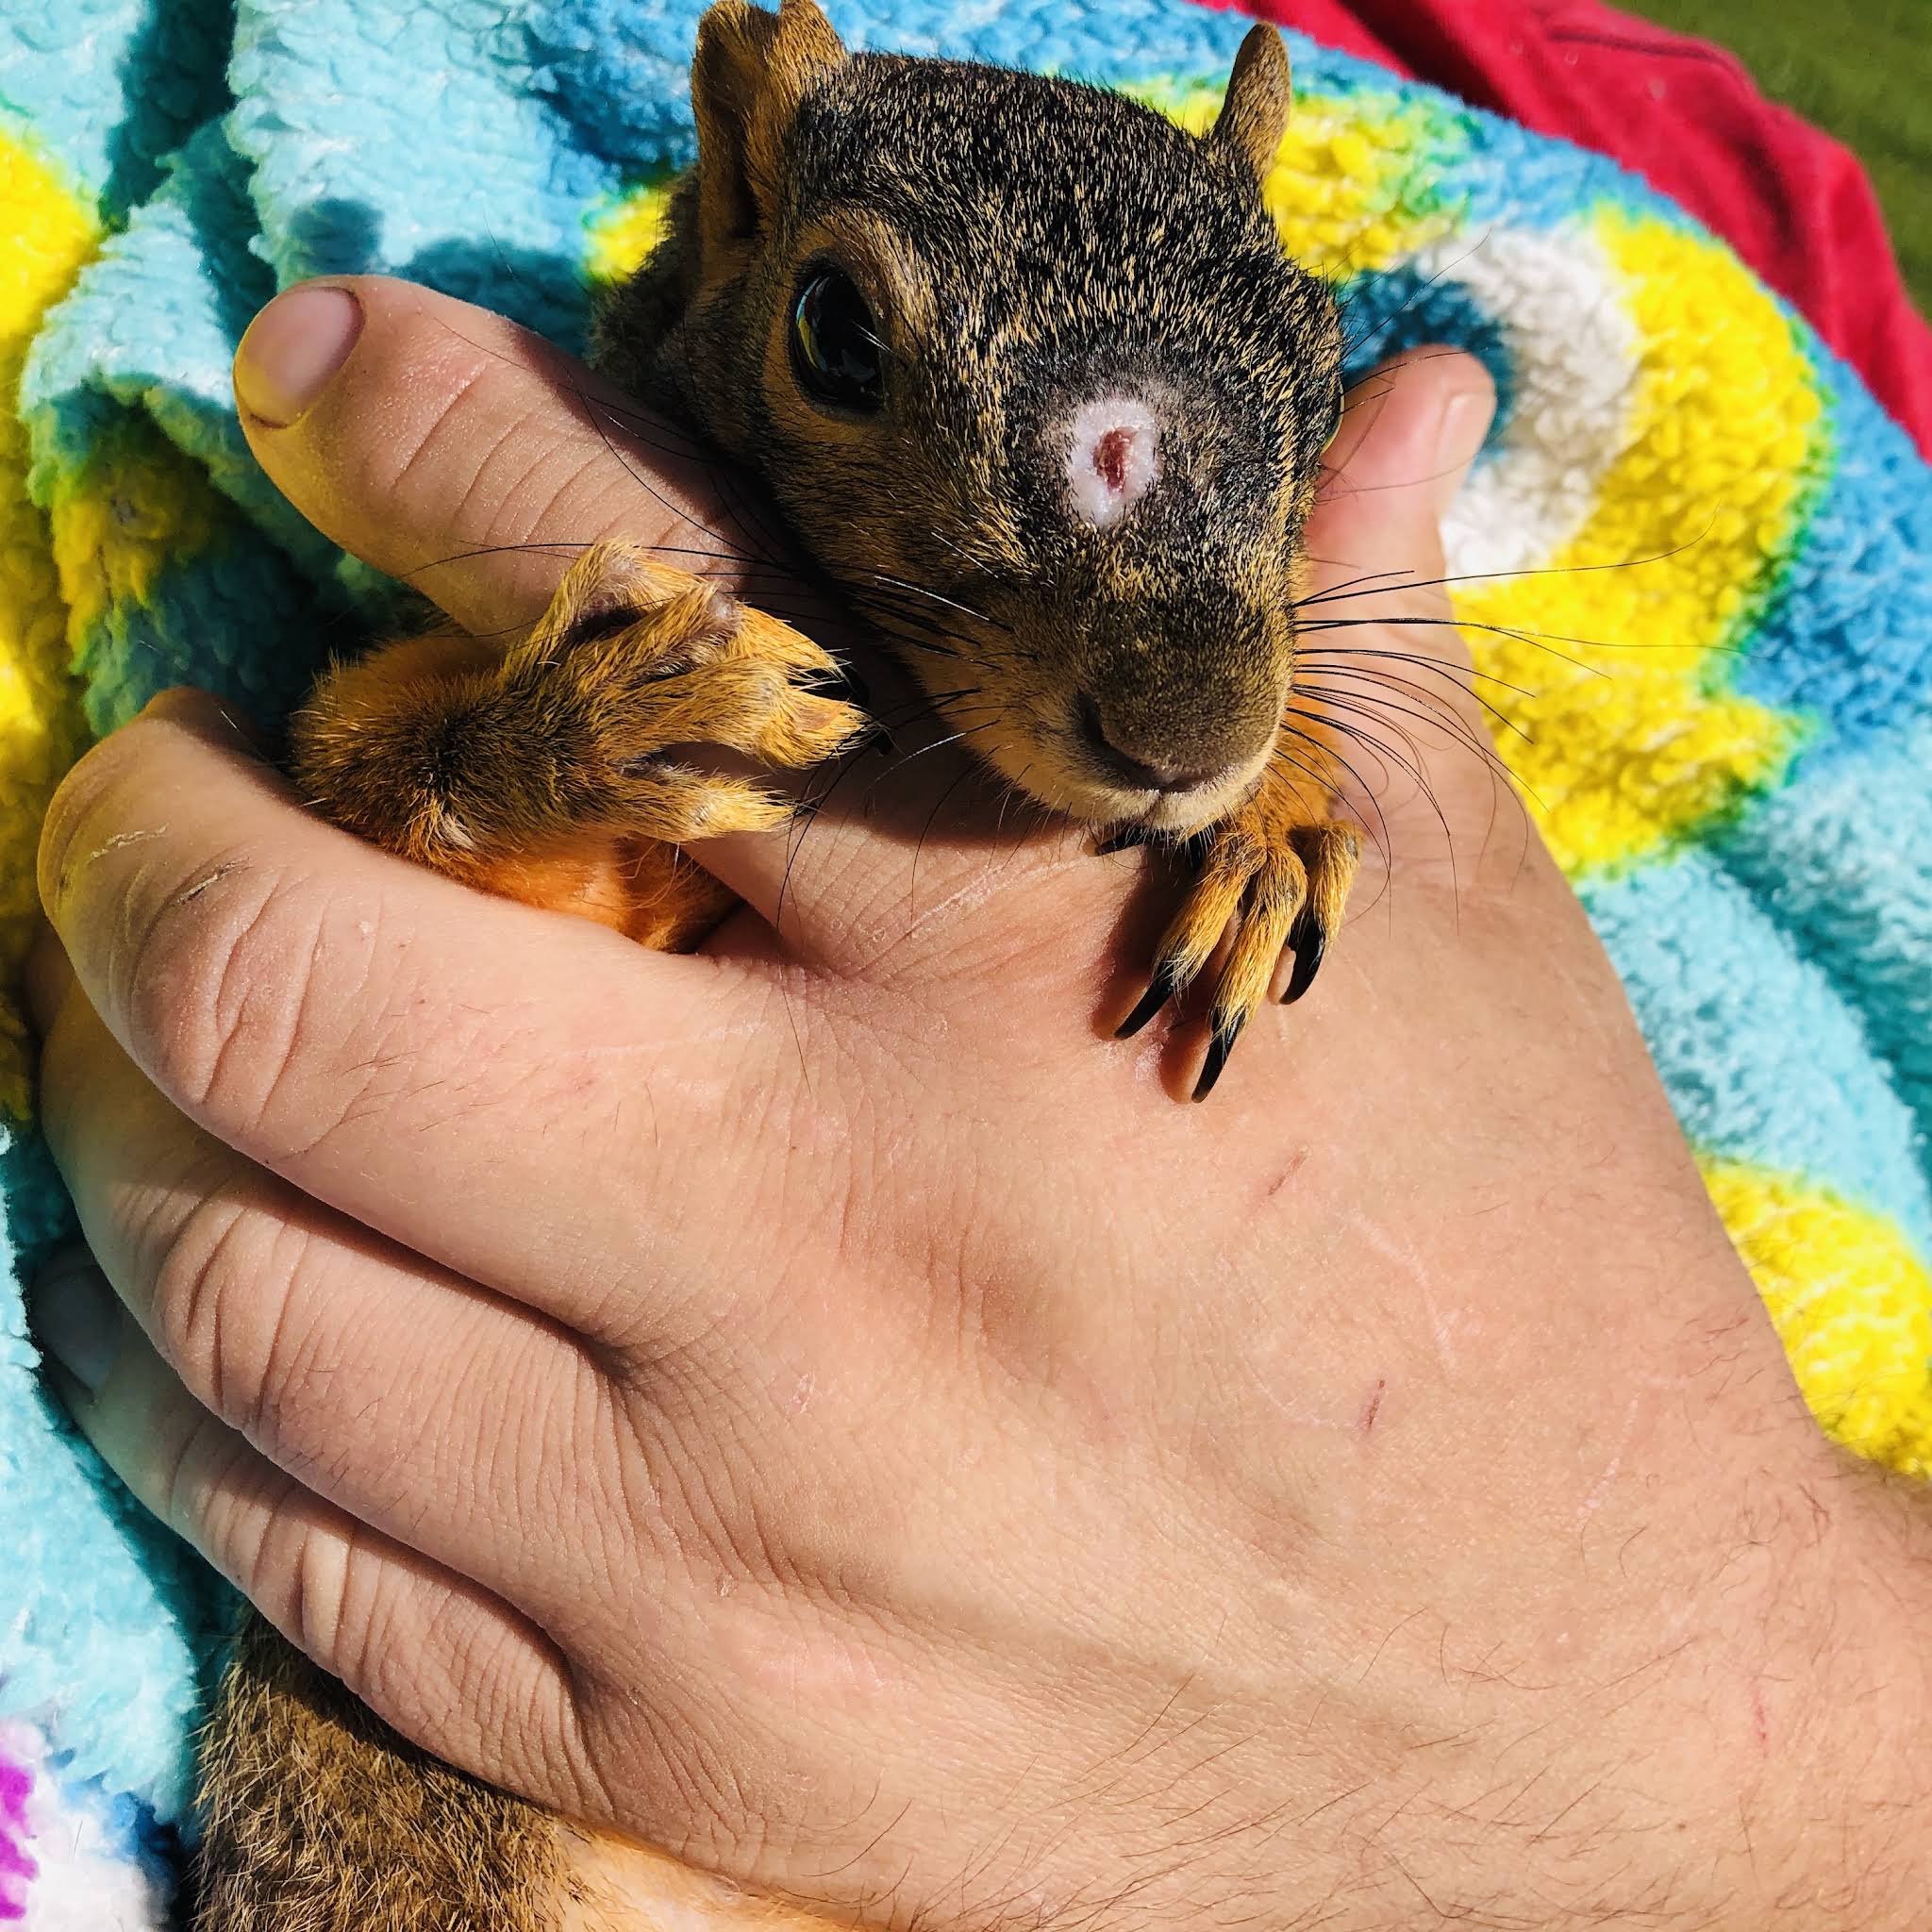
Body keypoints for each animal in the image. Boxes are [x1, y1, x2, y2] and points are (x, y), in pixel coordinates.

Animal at [189, 4, 1356, 1927]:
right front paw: (591, 730)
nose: (1188, 731)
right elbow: (394, 782)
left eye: (1329, 365)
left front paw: (1281, 807)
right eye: (835, 333)